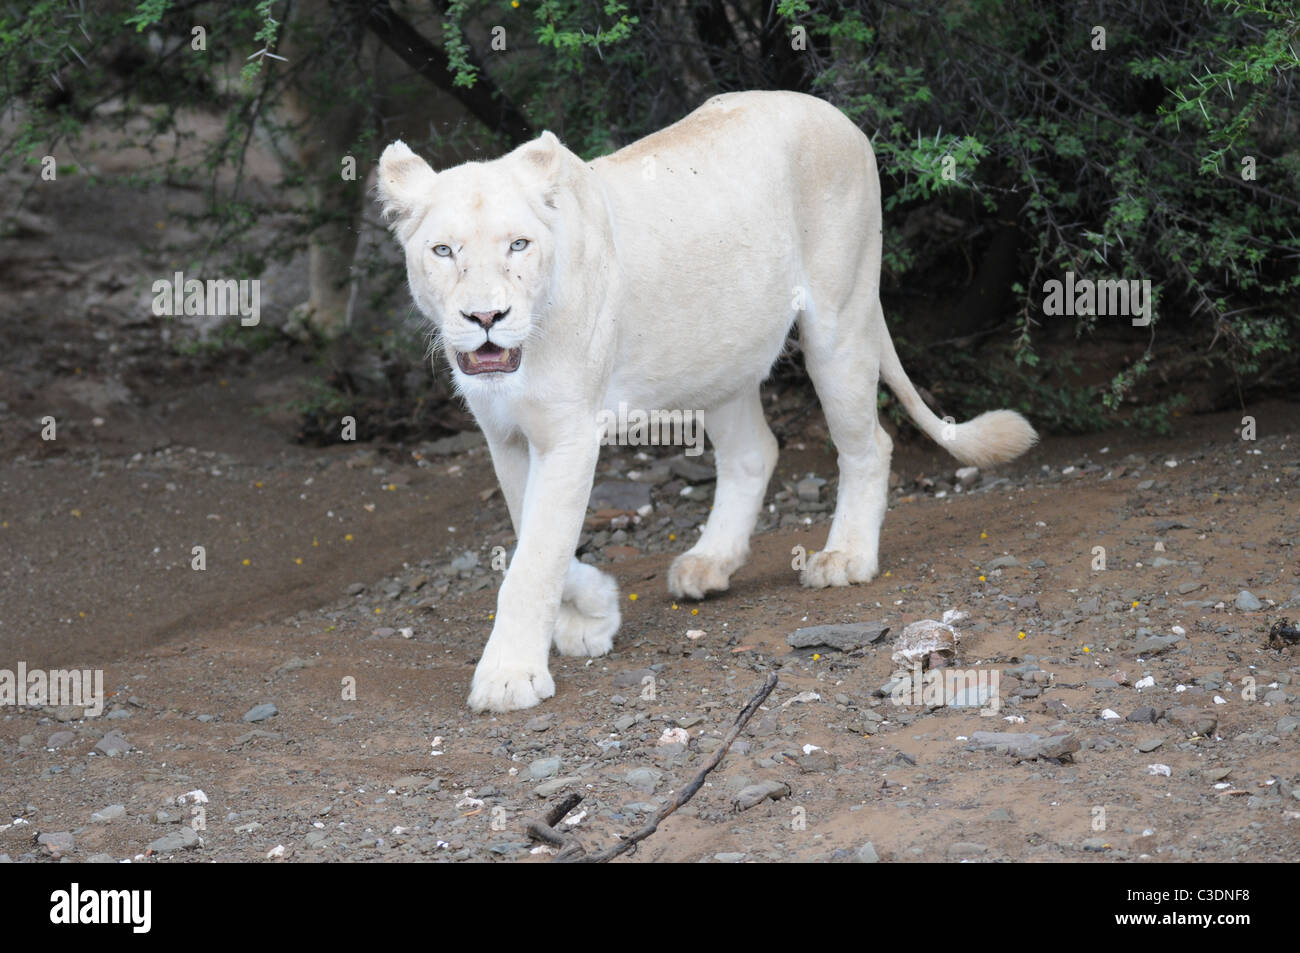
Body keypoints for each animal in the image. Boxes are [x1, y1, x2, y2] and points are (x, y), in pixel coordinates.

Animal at [376, 90, 1037, 712]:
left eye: (518, 245)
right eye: (442, 251)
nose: (486, 318)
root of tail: (834, 113)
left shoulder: (568, 436)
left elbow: (534, 560)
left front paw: (510, 676)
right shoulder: (508, 438)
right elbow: (532, 537)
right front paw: (591, 615)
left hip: (839, 319)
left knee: (869, 442)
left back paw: (845, 556)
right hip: (722, 355)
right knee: (754, 452)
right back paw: (711, 562)